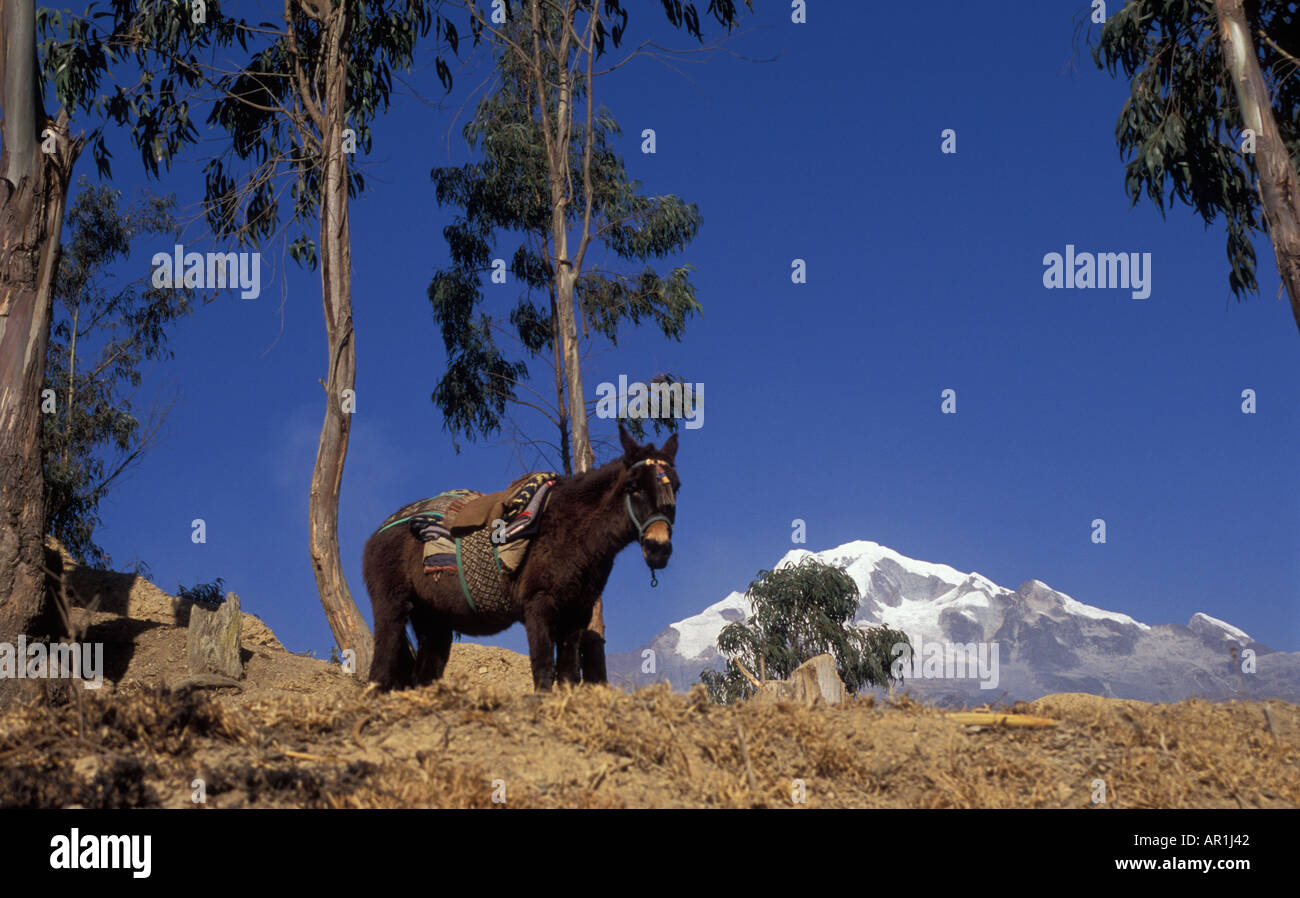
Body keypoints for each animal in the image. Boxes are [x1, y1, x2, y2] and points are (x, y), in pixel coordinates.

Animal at [362, 424, 680, 691]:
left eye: (675, 487)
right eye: (633, 488)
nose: (659, 548)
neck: (571, 531)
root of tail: (379, 532)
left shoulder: (576, 613)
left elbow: (566, 674)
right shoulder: (538, 607)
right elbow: (543, 671)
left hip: (433, 620)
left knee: (424, 675)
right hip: (393, 608)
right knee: (380, 669)